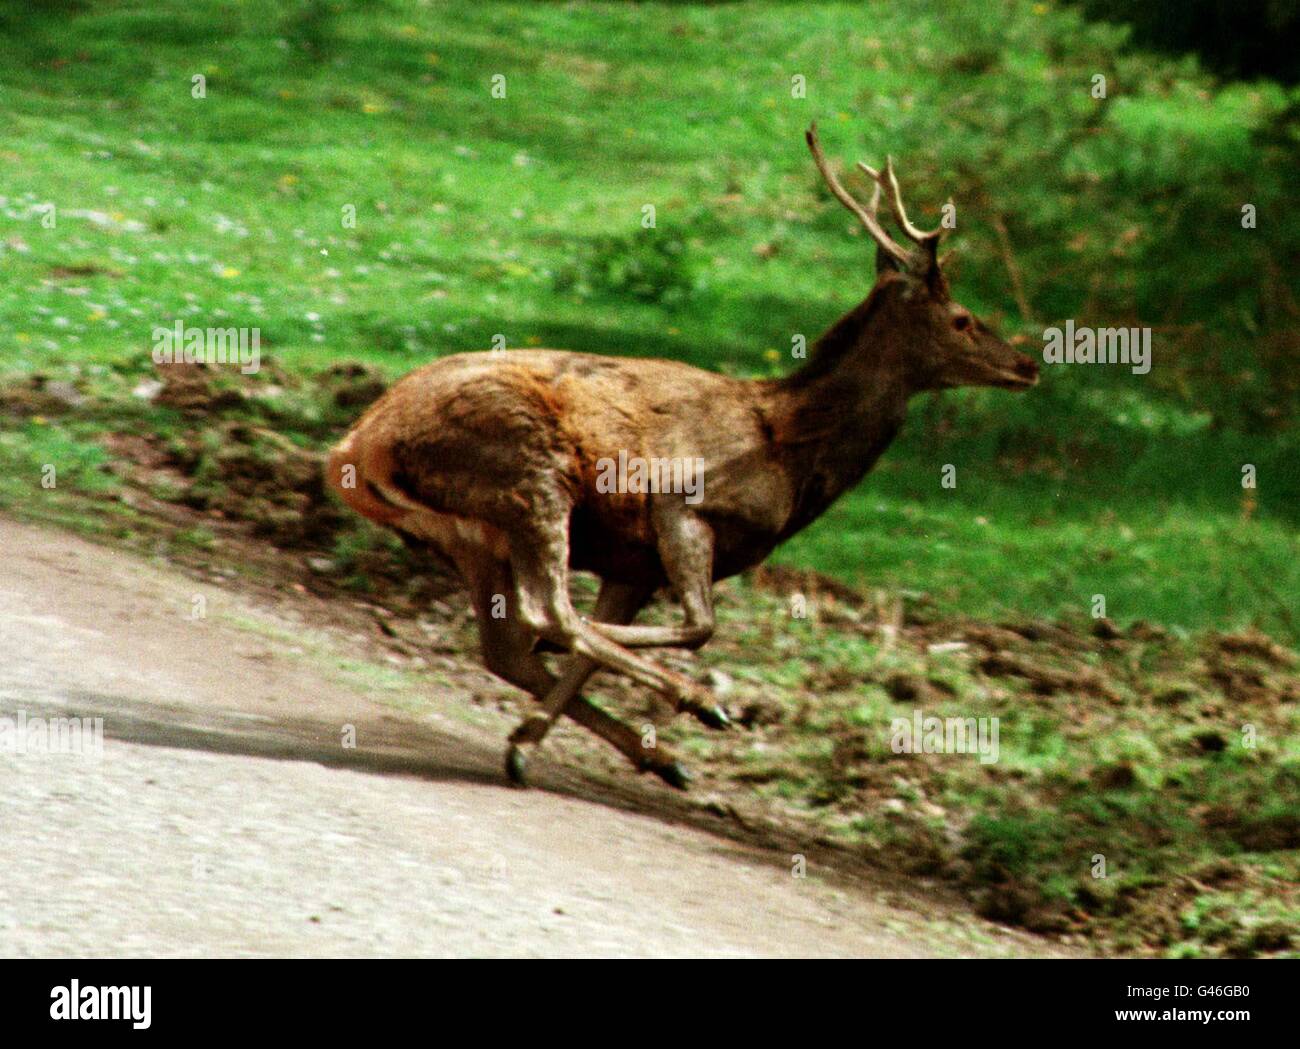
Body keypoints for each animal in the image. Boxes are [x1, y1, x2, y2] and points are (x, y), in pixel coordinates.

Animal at [326, 124, 1039, 790]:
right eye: (963, 318)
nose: (1028, 365)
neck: (789, 447)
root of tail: (356, 445)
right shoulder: (680, 502)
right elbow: (697, 626)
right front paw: (683, 704)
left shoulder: (632, 564)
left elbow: (592, 646)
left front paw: (528, 740)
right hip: (528, 473)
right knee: (548, 611)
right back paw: (695, 702)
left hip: (472, 534)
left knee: (507, 646)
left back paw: (651, 753)